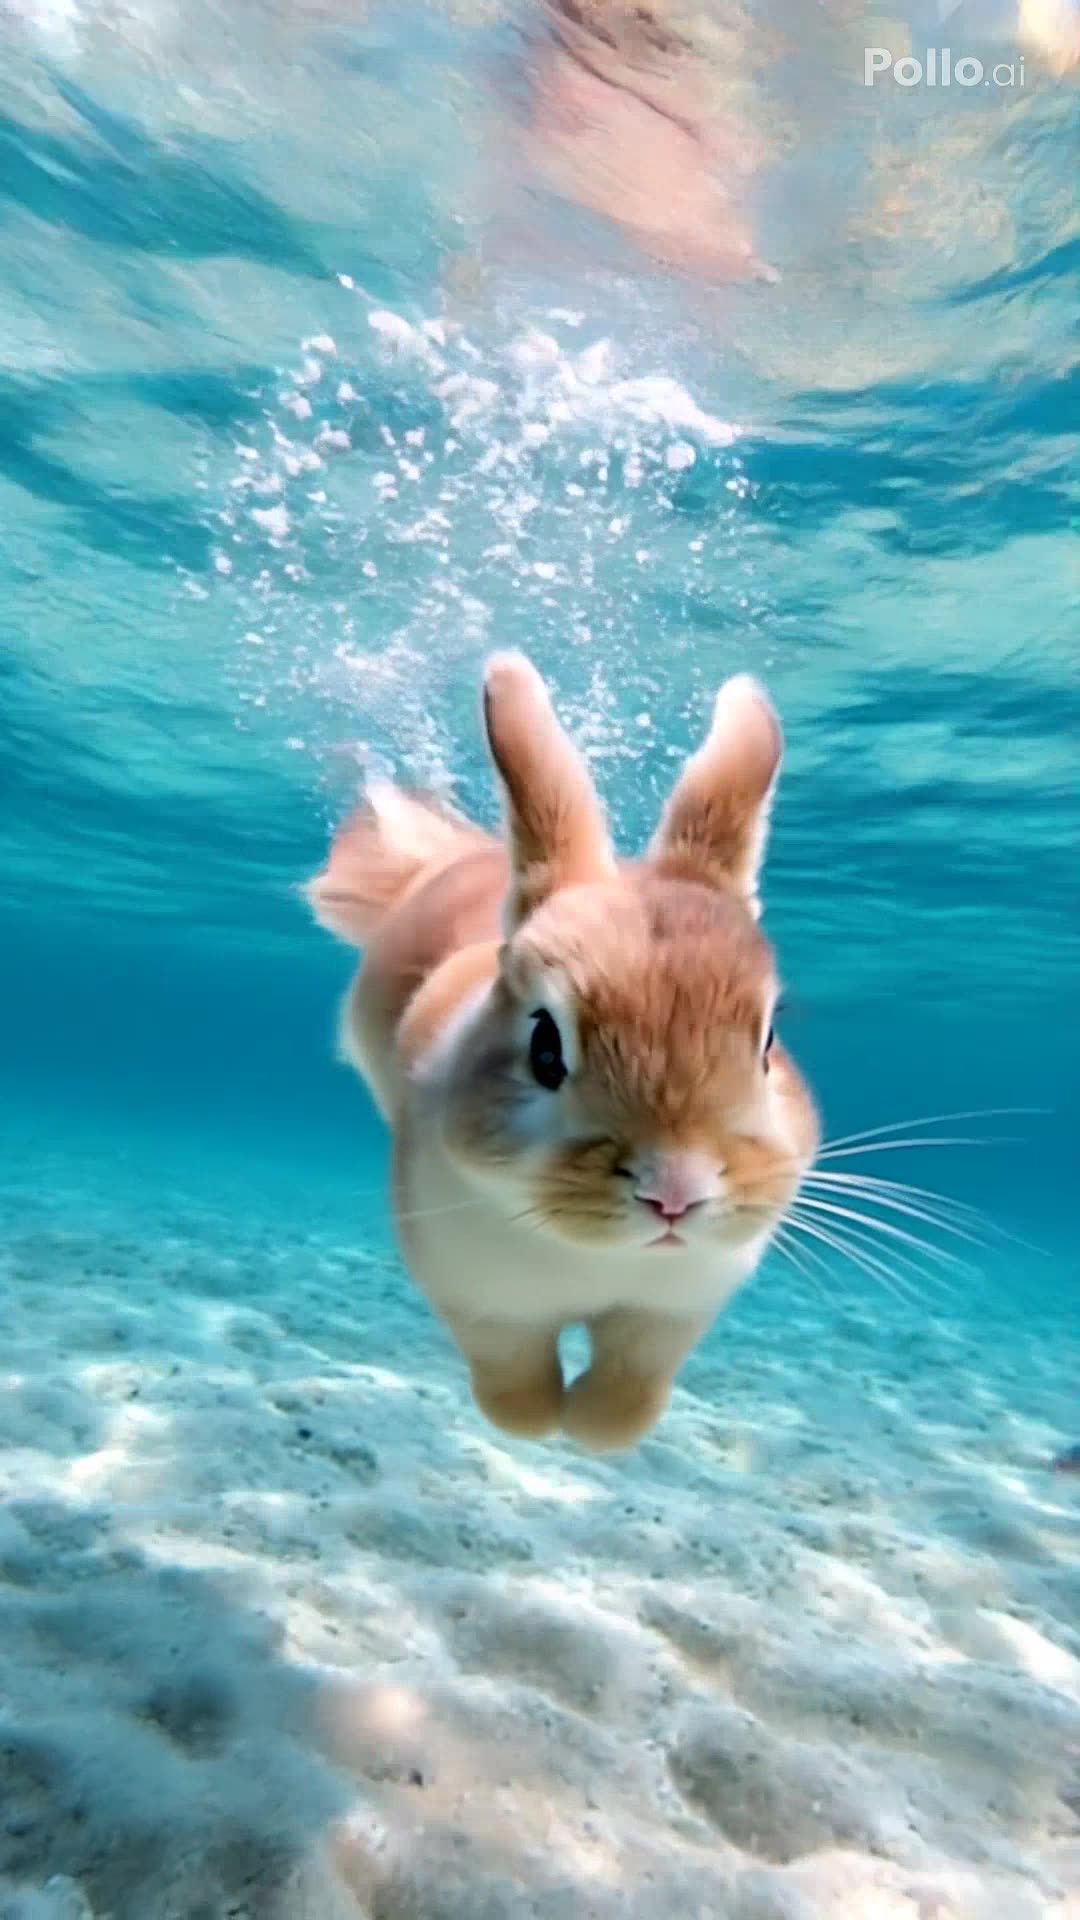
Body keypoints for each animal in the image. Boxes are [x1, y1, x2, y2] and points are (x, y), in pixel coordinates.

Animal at [306, 653, 818, 1451]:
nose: (675, 1193)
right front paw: (548, 1422)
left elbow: (628, 1397)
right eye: (546, 1048)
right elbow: (514, 1388)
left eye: (767, 1041)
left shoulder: (668, 1319)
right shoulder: (482, 1307)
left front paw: (589, 1428)